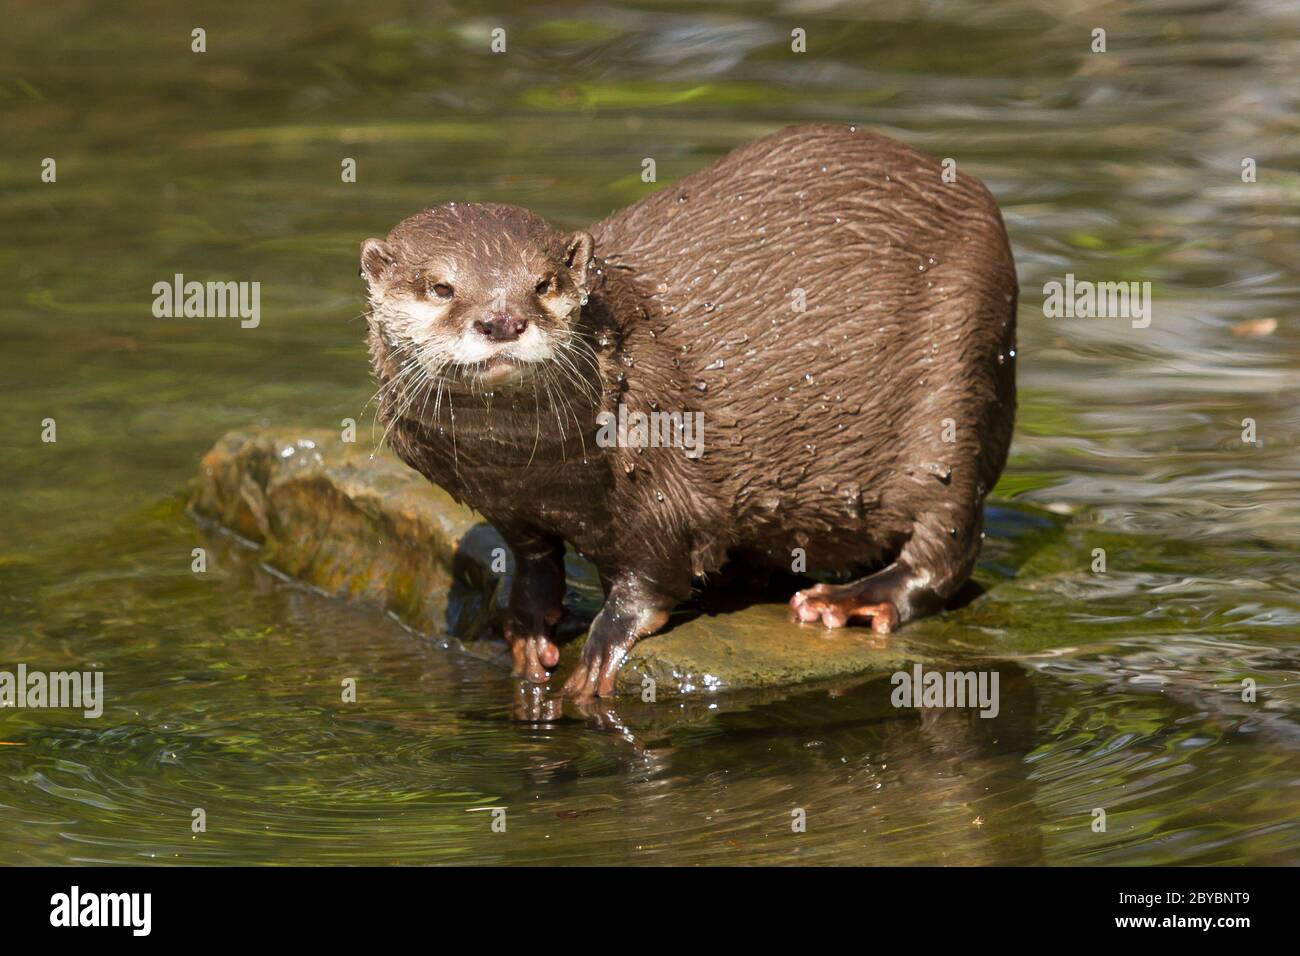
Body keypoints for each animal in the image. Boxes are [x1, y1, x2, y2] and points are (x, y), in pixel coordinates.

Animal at [360, 124, 1017, 698]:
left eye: (543, 283)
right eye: (441, 286)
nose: (501, 319)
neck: (529, 467)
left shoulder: (663, 463)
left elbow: (656, 572)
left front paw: (602, 648)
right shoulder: (504, 503)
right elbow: (532, 557)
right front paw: (525, 625)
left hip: (959, 376)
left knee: (949, 543)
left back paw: (848, 599)